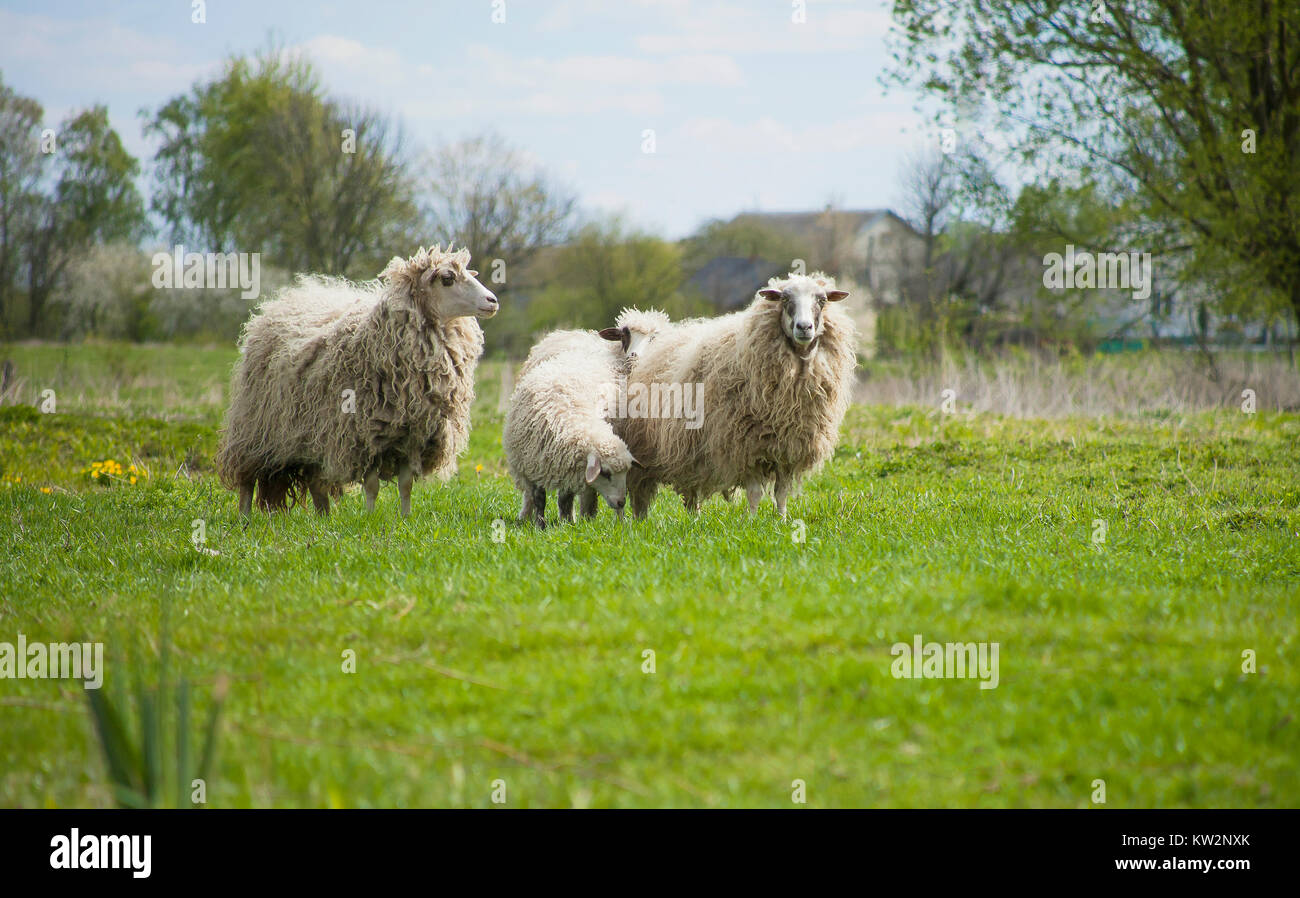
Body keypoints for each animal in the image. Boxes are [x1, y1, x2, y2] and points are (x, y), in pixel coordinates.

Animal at [214, 245, 499, 519]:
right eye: (447, 279)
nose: (493, 300)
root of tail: (284, 300)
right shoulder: (361, 435)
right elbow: (371, 485)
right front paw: (370, 519)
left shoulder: (413, 436)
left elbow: (406, 485)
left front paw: (405, 518)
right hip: (256, 425)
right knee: (247, 477)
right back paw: (245, 517)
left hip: (311, 432)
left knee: (316, 483)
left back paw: (324, 518)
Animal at [503, 350, 635, 528]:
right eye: (605, 473)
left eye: (626, 472)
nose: (622, 502)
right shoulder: (533, 465)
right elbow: (539, 498)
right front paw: (540, 525)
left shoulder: (568, 468)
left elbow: (565, 499)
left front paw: (567, 524)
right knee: (529, 496)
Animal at [617, 271, 856, 519]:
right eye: (785, 300)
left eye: (822, 301)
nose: (804, 327)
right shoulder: (744, 444)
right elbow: (754, 493)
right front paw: (752, 521)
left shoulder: (788, 449)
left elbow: (781, 493)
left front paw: (782, 520)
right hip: (646, 451)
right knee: (641, 493)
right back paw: (641, 521)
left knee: (690, 493)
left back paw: (693, 519)